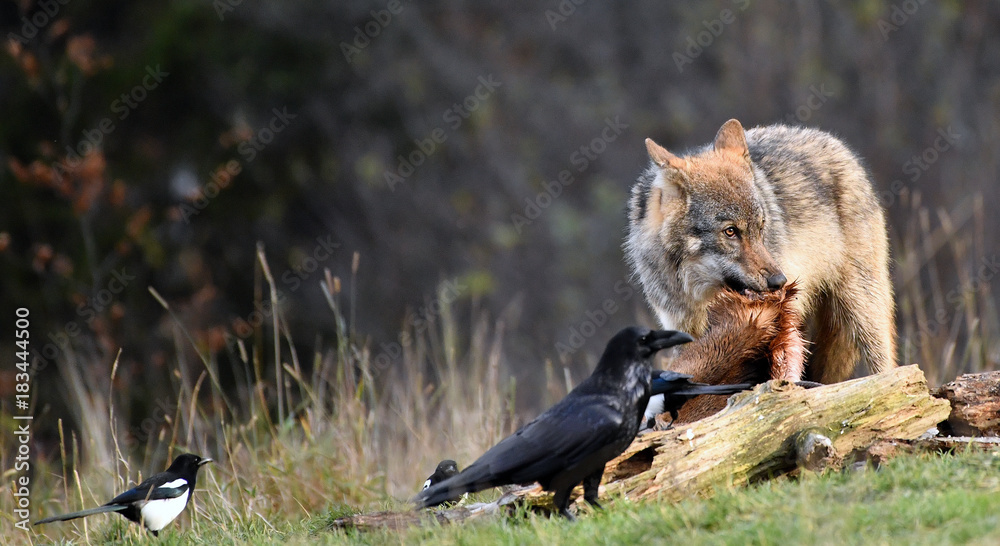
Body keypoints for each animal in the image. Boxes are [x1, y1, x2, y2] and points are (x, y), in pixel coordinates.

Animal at [625, 119, 896, 383]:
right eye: (730, 232)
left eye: (761, 226)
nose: (779, 281)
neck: (700, 294)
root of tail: (832, 141)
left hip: (862, 309)